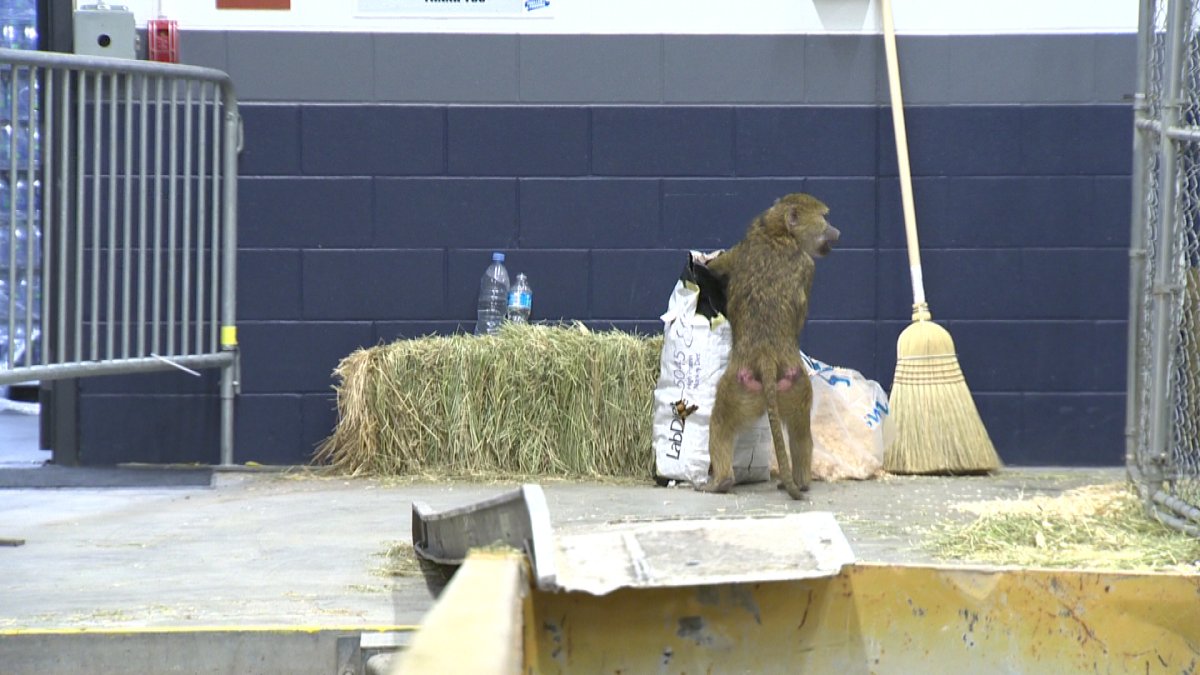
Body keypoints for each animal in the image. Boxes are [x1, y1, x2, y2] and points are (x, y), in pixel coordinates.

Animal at [700, 193, 840, 499]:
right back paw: (798, 482)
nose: (836, 232)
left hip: (749, 385)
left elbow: (717, 268)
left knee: (721, 424)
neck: (777, 231)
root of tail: (766, 357)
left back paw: (722, 482)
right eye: (824, 218)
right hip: (791, 385)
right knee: (800, 433)